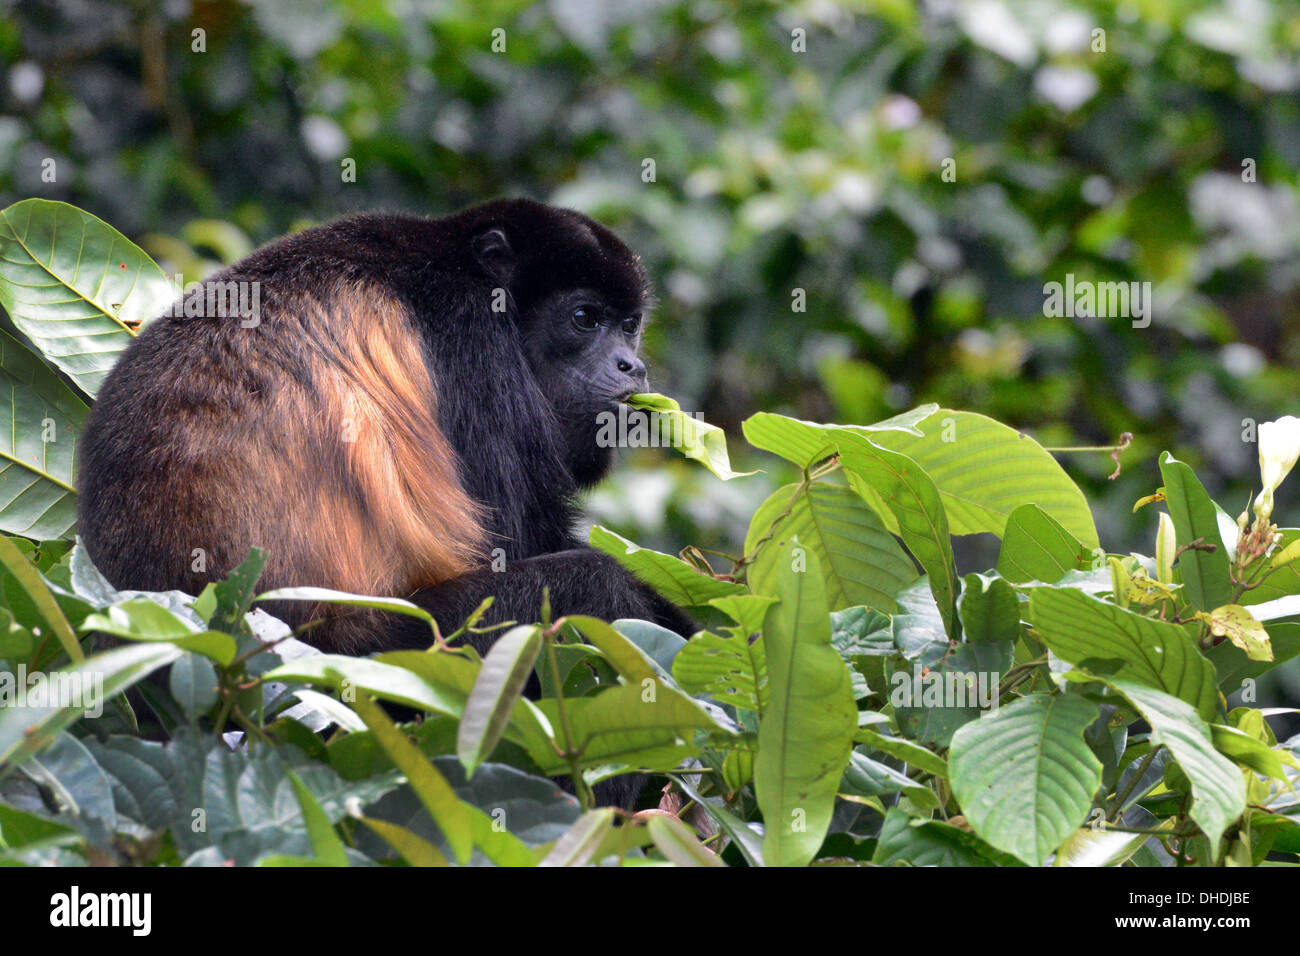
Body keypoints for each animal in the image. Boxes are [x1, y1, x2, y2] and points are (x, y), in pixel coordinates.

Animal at [77, 199, 696, 662]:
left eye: (629, 325)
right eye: (585, 319)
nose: (632, 366)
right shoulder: (471, 340)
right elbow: (516, 539)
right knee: (594, 585)